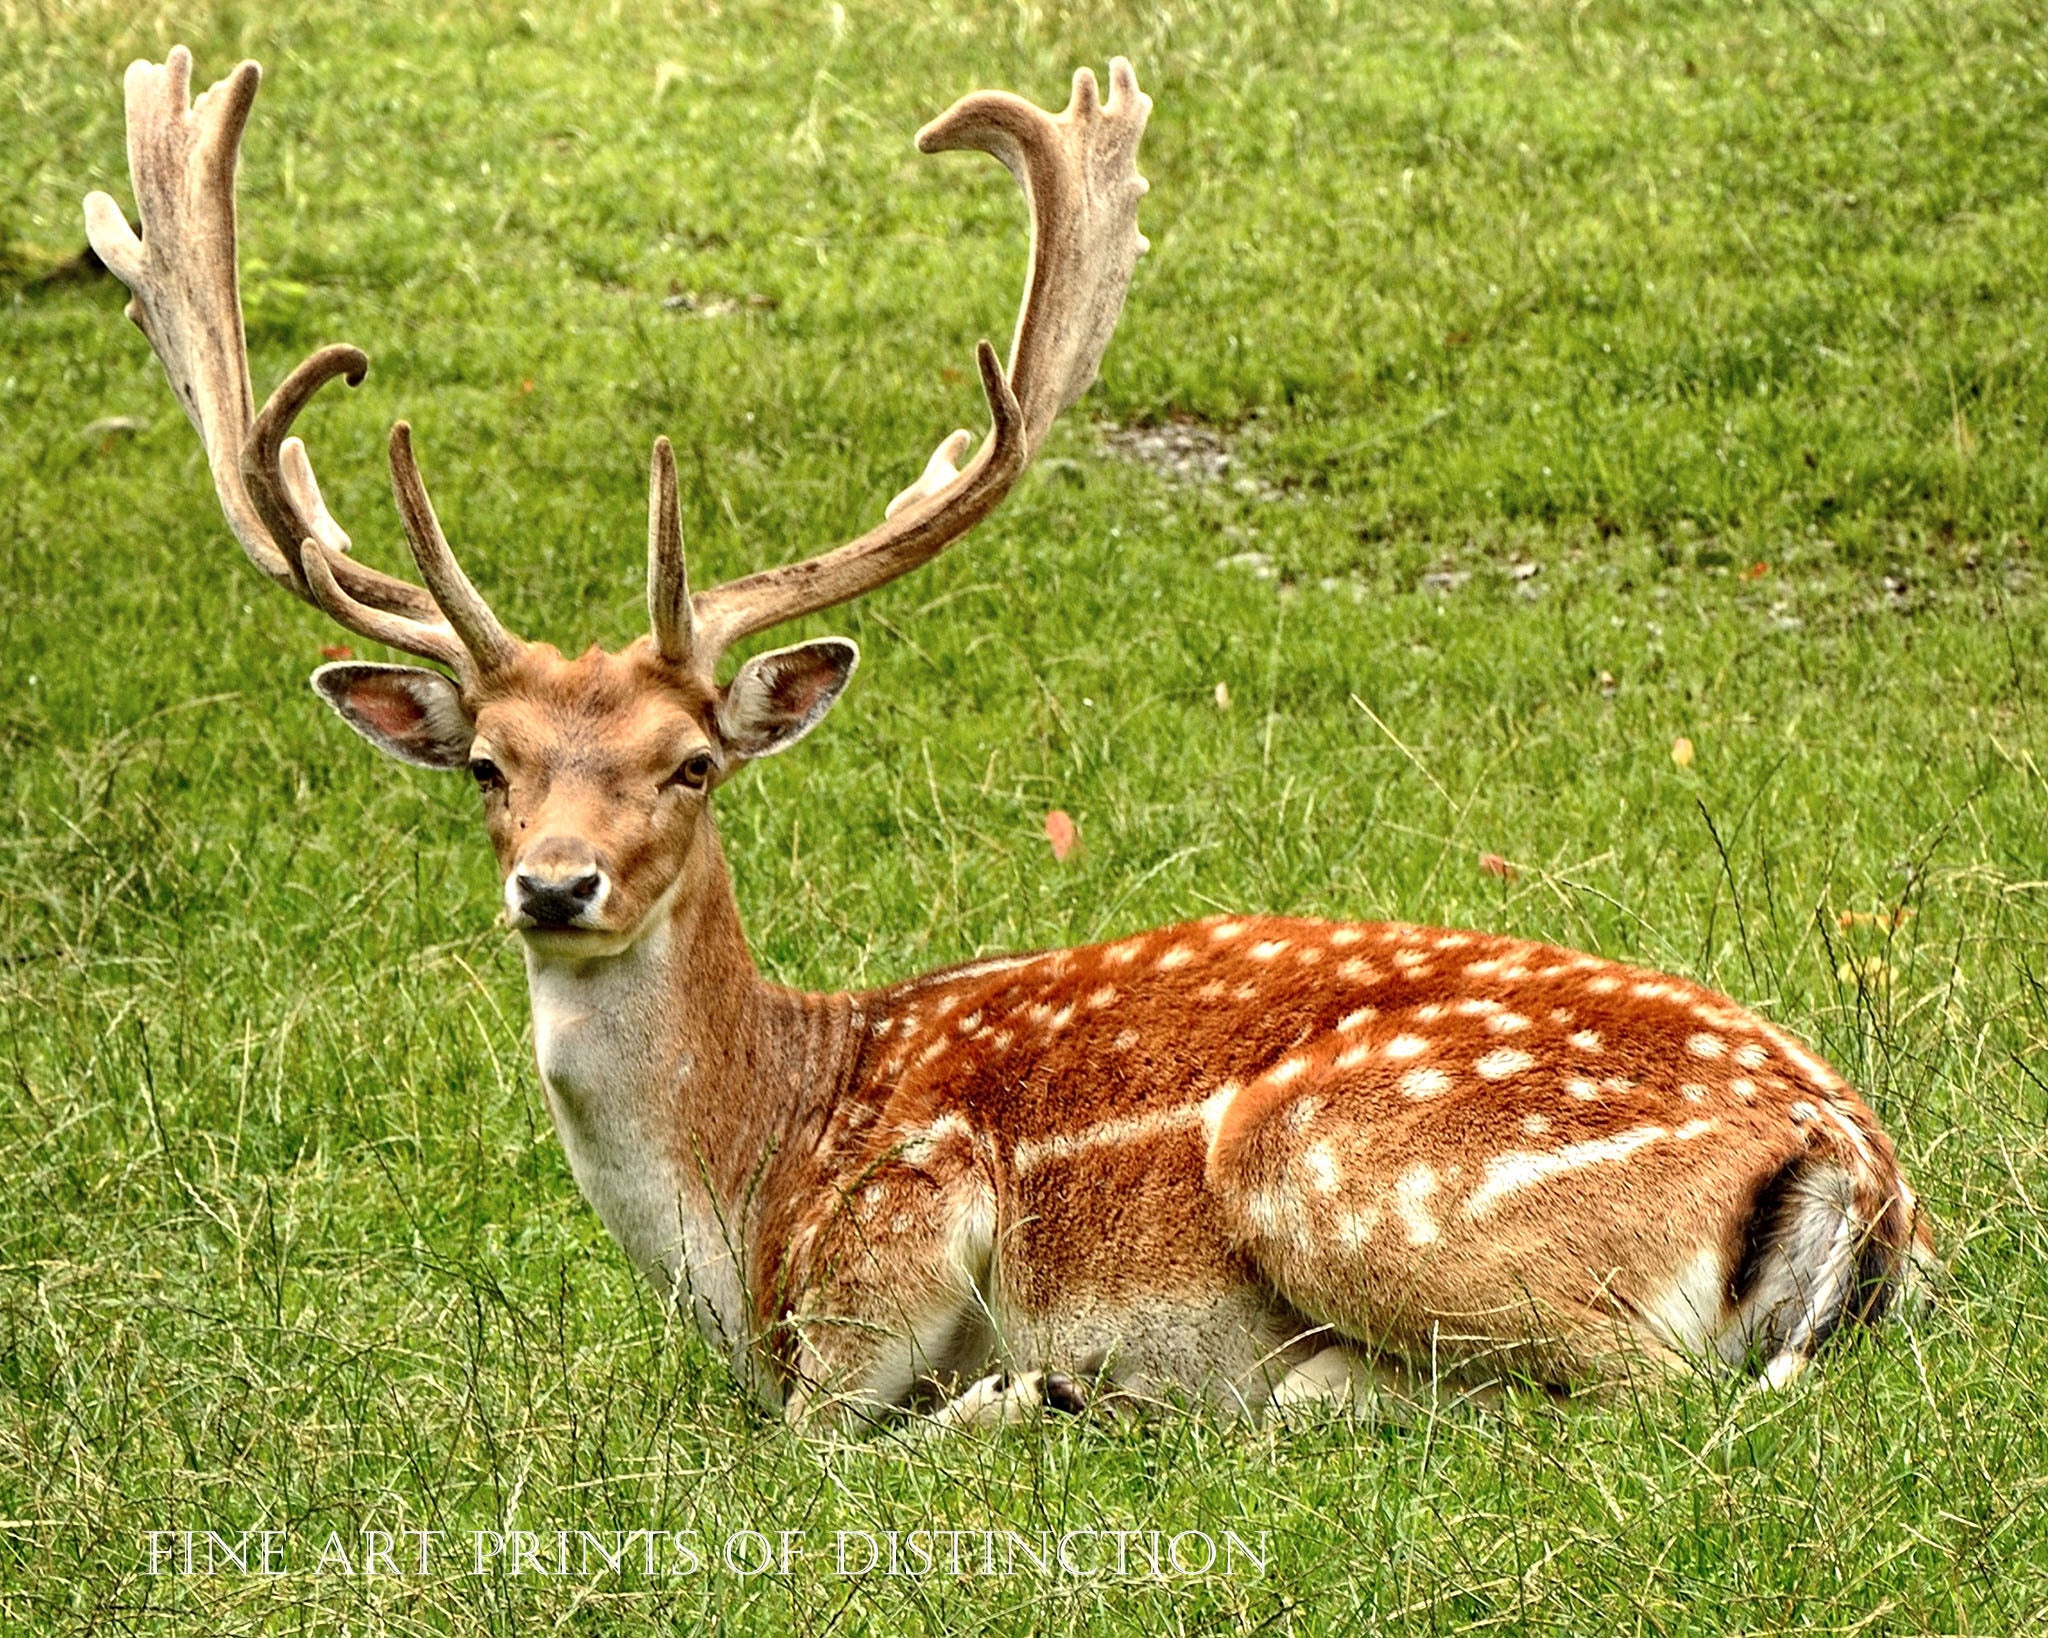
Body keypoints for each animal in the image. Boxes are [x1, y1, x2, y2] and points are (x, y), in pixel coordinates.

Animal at [86, 47, 1931, 1433]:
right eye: (490, 764)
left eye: (693, 760)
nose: (555, 884)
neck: (747, 1189)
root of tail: (1856, 1164)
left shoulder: (891, 1239)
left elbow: (822, 1430)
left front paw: (1016, 1392)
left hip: (1336, 1165)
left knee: (1633, 1387)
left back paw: (1223, 1391)